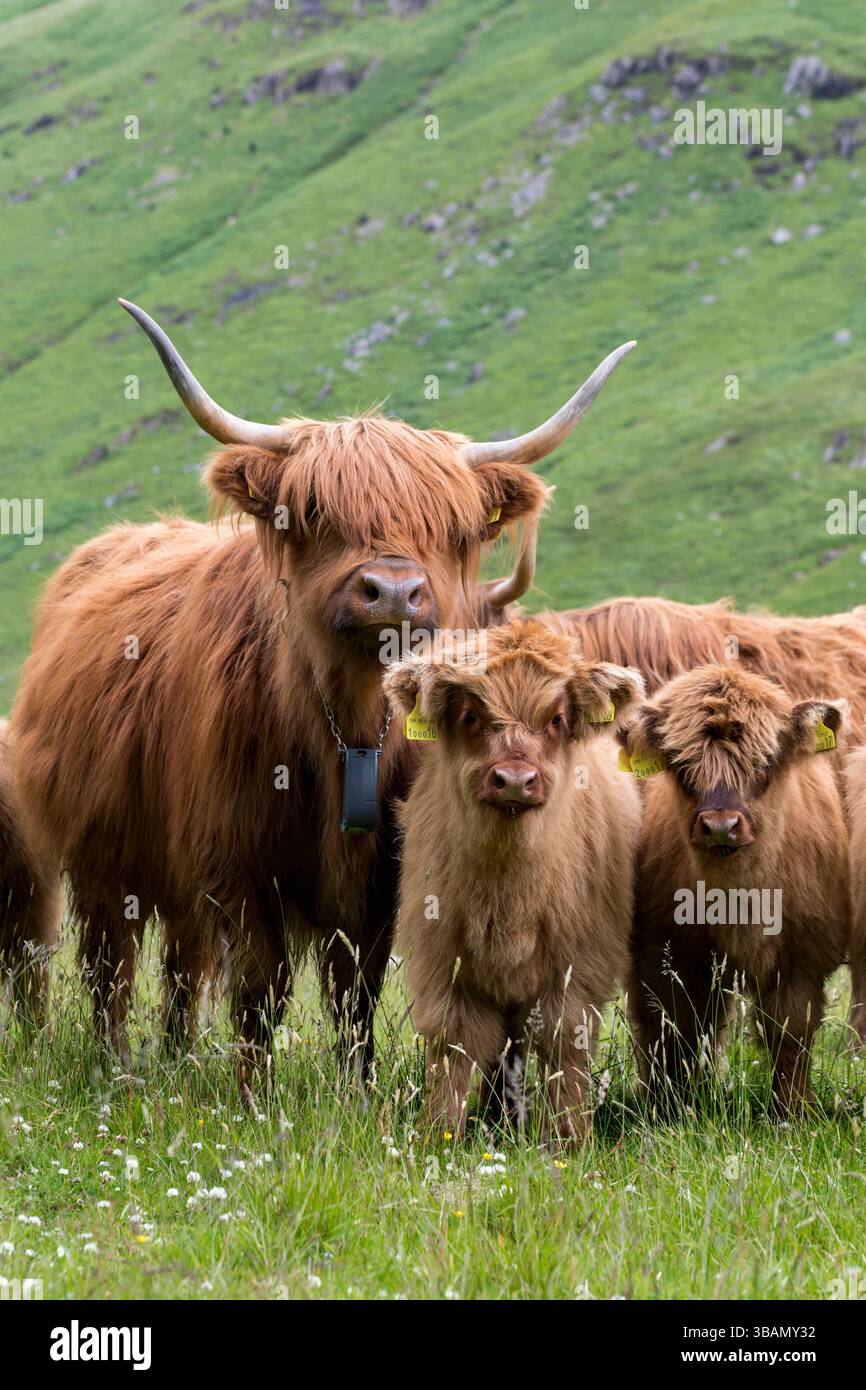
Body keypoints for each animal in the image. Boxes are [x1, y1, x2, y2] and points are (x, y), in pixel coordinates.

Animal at [10, 299, 635, 1083]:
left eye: (450, 526)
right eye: (313, 514)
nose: (393, 590)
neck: (352, 729)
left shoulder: (381, 877)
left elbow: (354, 990)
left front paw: (356, 1088)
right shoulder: (239, 861)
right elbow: (260, 987)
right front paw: (253, 1091)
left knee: (182, 964)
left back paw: (178, 1055)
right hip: (101, 850)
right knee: (111, 960)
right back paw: (117, 1066)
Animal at [383, 616, 644, 1143]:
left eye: (557, 719)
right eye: (470, 715)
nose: (515, 781)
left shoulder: (577, 968)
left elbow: (564, 1044)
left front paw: (567, 1139)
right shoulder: (444, 964)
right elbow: (455, 1045)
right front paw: (439, 1134)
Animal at [623, 663, 849, 1114]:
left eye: (765, 763)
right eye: (682, 767)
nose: (720, 826)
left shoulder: (801, 959)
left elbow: (790, 1034)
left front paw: (792, 1111)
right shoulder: (662, 954)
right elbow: (671, 1032)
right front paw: (668, 1107)